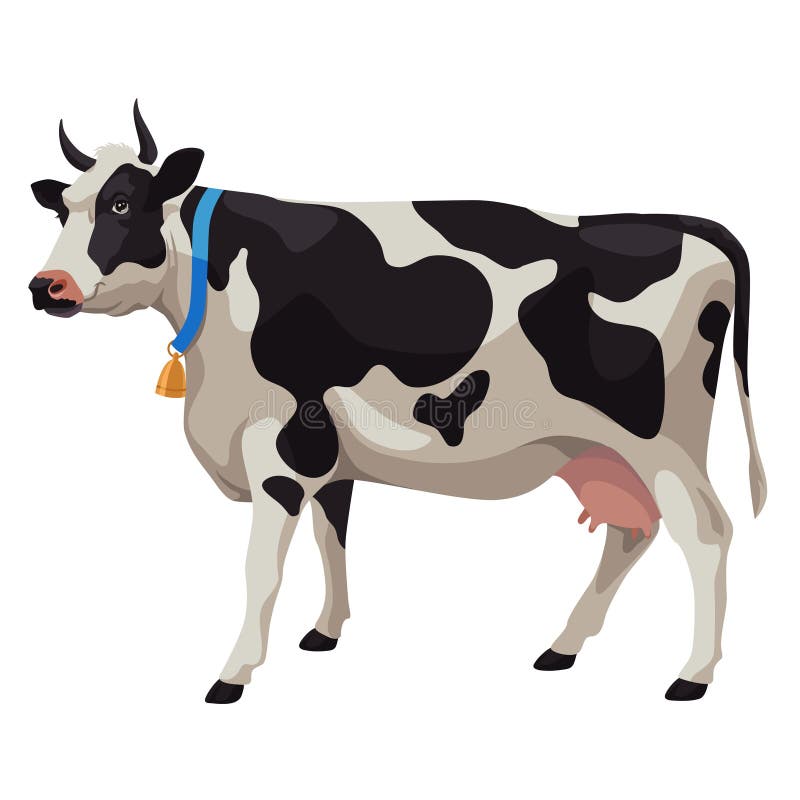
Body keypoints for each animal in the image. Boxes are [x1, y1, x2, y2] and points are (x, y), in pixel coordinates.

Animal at [29, 102, 766, 703]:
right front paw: (325, 633)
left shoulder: (282, 444)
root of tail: (678, 223)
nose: (46, 286)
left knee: (706, 533)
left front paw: (233, 673)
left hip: (663, 440)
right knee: (632, 530)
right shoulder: (327, 448)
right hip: (601, 450)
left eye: (122, 205)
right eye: (63, 209)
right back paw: (563, 647)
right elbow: (333, 535)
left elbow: (260, 569)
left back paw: (692, 675)